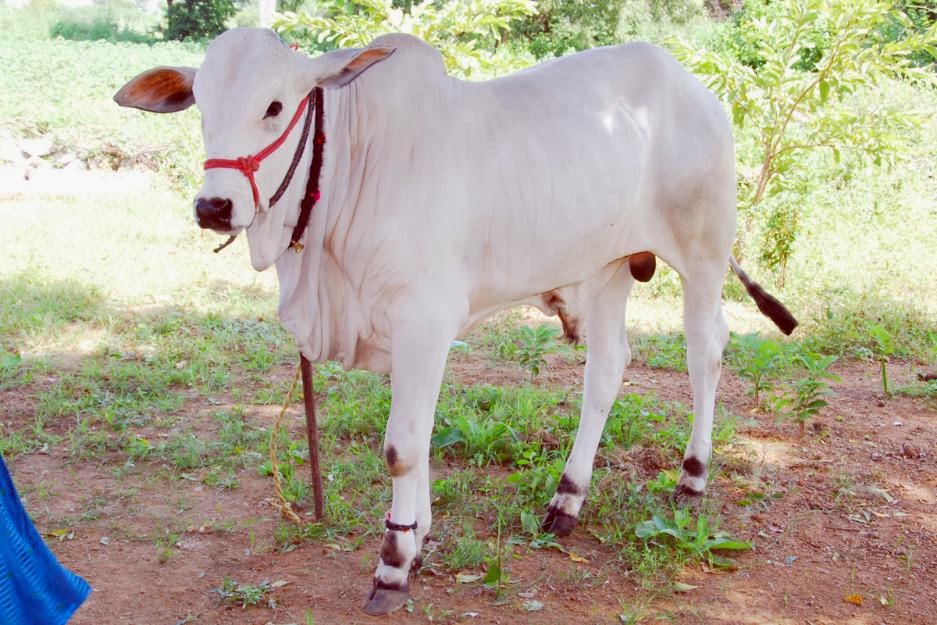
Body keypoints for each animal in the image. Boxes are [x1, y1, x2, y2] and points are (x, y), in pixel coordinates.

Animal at [114, 28, 796, 615]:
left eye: (275, 106)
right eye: (201, 106)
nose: (214, 206)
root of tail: (693, 85)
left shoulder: (424, 319)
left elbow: (400, 447)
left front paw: (393, 563)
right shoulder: (409, 333)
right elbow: (417, 440)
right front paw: (416, 538)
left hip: (703, 252)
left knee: (705, 350)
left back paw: (692, 478)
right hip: (606, 270)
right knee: (607, 369)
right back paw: (567, 499)